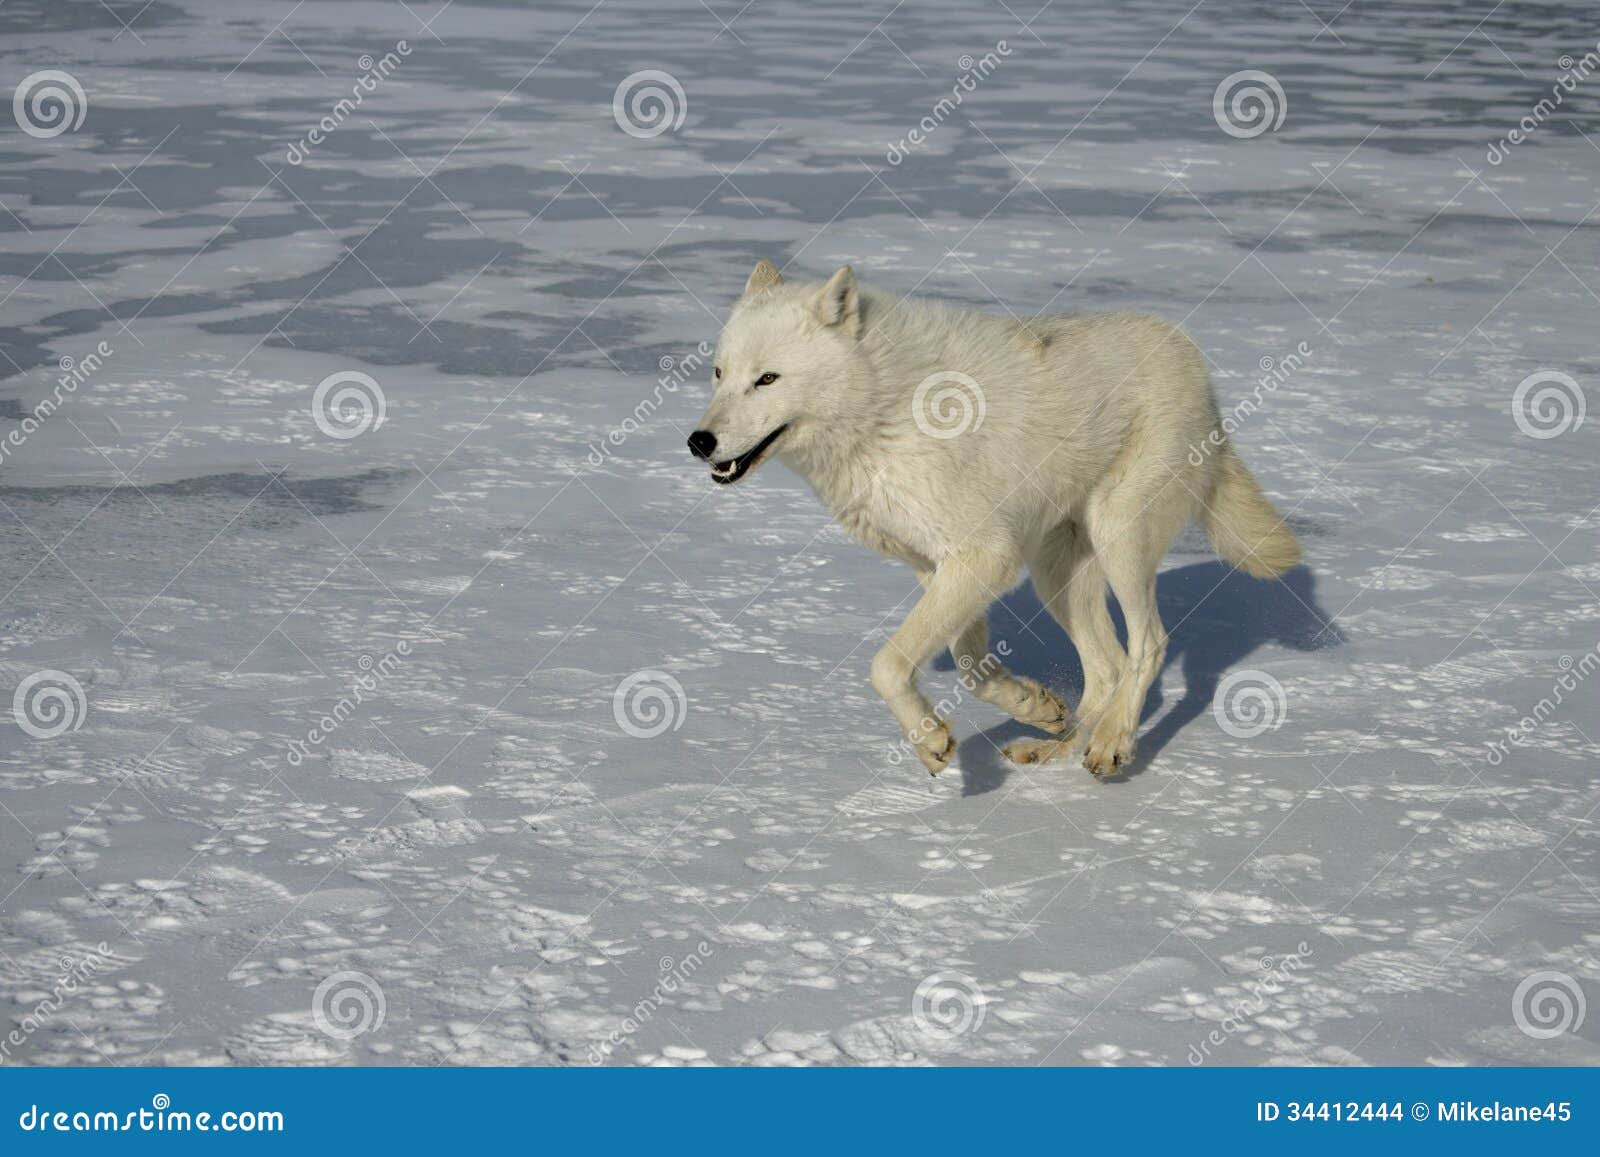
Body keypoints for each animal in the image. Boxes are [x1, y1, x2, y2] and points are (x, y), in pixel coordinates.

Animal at [688, 260, 1301, 777]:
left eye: (767, 379)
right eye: (718, 374)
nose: (699, 441)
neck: (883, 409)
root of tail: (1193, 360)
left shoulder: (983, 556)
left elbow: (886, 666)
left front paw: (931, 742)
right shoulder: (939, 567)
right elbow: (970, 666)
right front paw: (1032, 704)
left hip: (1118, 539)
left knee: (1148, 646)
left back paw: (1112, 744)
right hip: (1057, 576)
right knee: (1107, 668)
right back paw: (1055, 748)